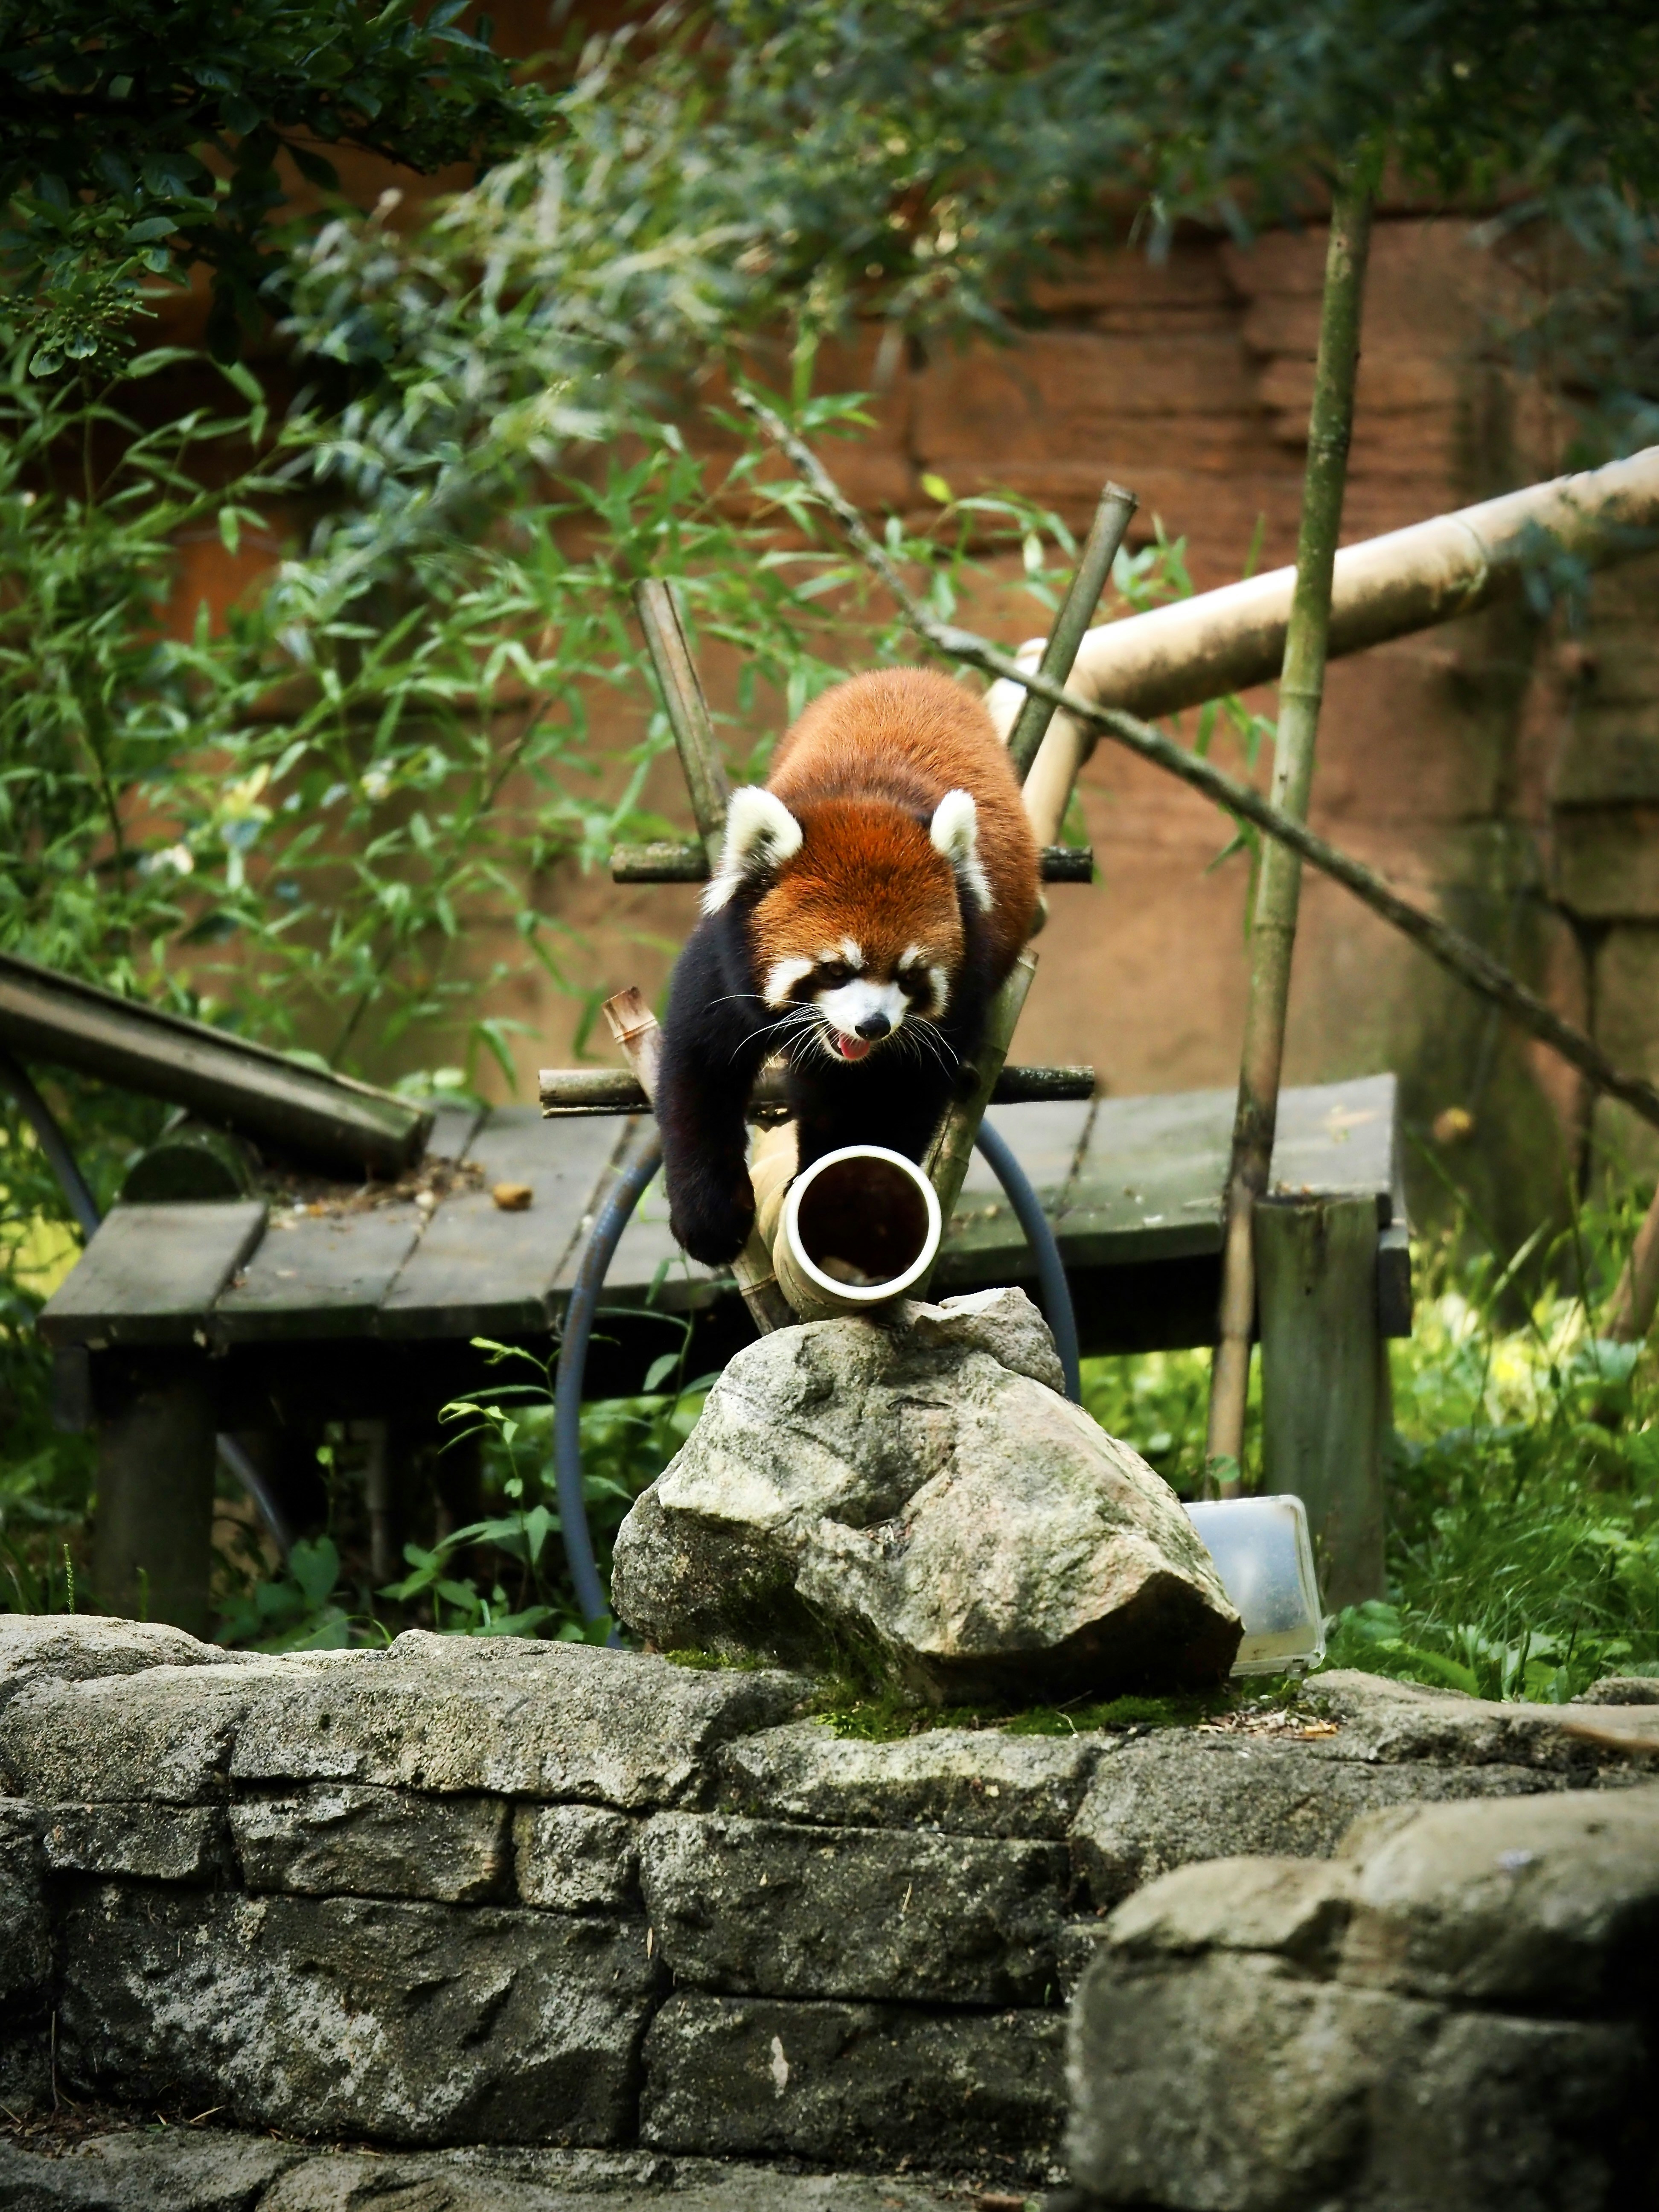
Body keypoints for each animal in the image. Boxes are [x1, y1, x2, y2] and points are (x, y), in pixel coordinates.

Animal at [656, 665, 1040, 1266]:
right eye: (836, 970)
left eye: (909, 977)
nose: (873, 1026)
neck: (868, 802)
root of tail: (915, 675)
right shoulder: (722, 963)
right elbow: (697, 1077)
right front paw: (709, 1219)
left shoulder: (961, 993)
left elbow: (896, 1108)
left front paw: (851, 1212)